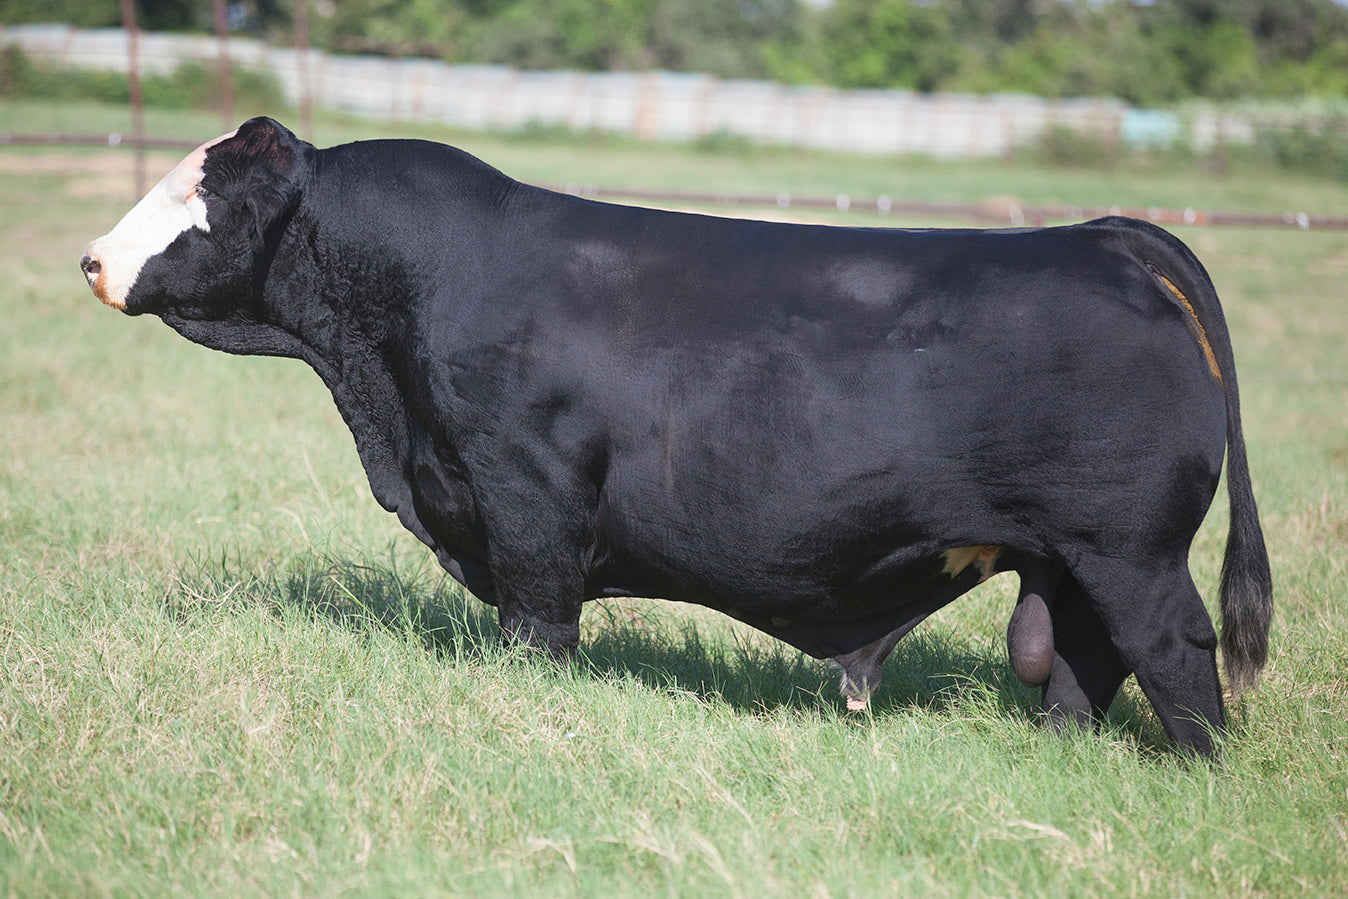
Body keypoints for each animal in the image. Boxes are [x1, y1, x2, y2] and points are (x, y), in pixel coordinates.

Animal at [82, 117, 1272, 755]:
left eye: (200, 193)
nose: (91, 258)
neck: (384, 401)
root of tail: (1104, 239)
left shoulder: (528, 497)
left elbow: (538, 624)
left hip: (1131, 548)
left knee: (1175, 647)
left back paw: (1198, 766)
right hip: (1071, 557)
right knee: (1079, 656)